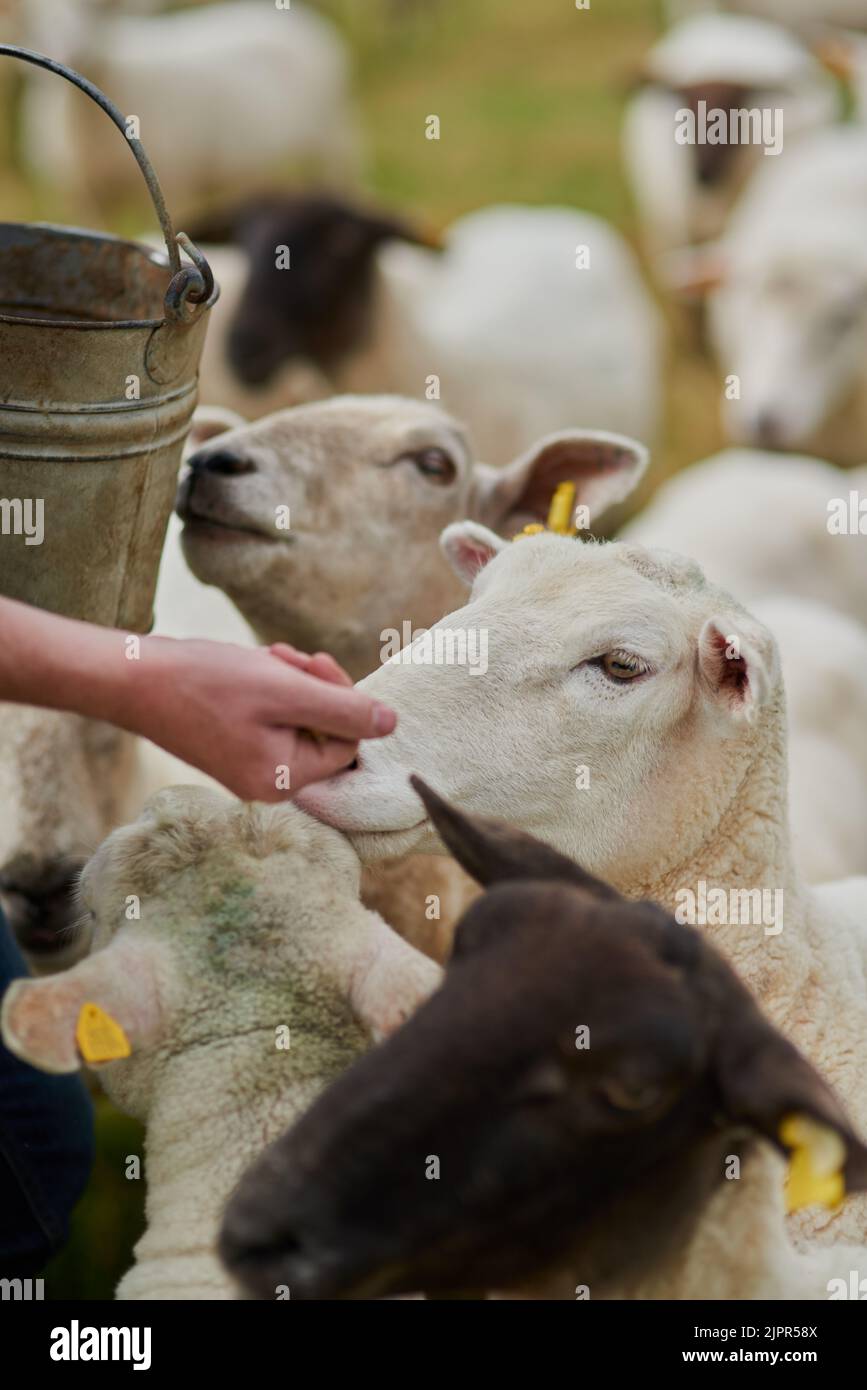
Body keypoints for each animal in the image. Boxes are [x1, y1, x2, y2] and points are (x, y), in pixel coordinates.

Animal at [17, 1, 360, 220]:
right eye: (33, 15)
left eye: (94, 9)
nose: (65, 49)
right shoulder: (79, 195)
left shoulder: (174, 184)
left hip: (334, 133)